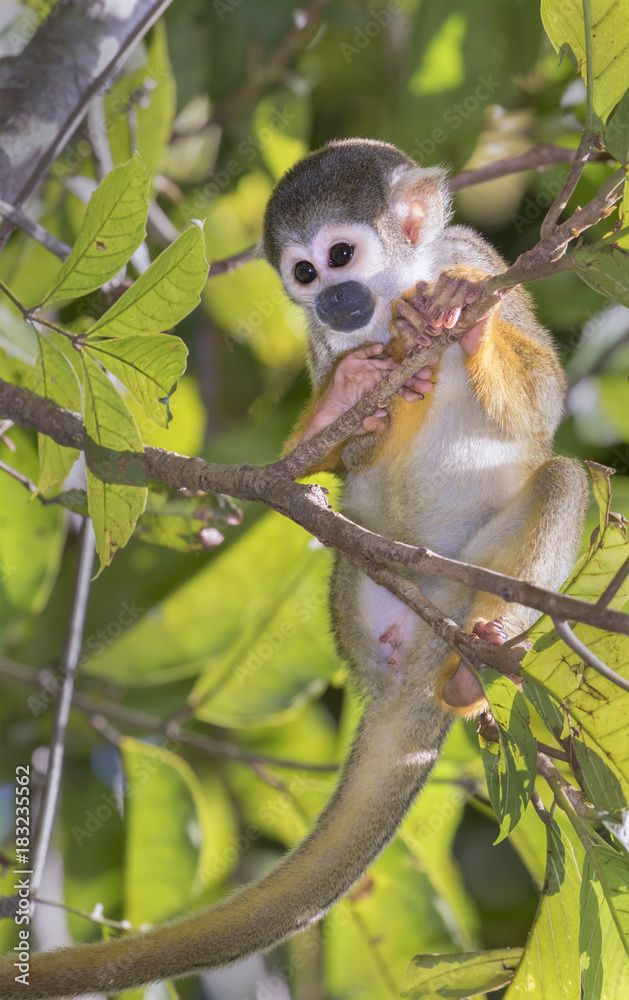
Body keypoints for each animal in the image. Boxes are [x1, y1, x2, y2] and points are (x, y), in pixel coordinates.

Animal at [0, 139, 588, 999]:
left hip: (473, 578)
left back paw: (479, 650)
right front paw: (351, 394)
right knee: (355, 531)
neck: (394, 296)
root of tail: (411, 671)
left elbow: (540, 405)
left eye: (341, 256)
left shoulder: (476, 256)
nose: (333, 300)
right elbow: (335, 451)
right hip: (364, 601)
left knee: (563, 477)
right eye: (303, 274)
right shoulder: (320, 338)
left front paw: (468, 327)